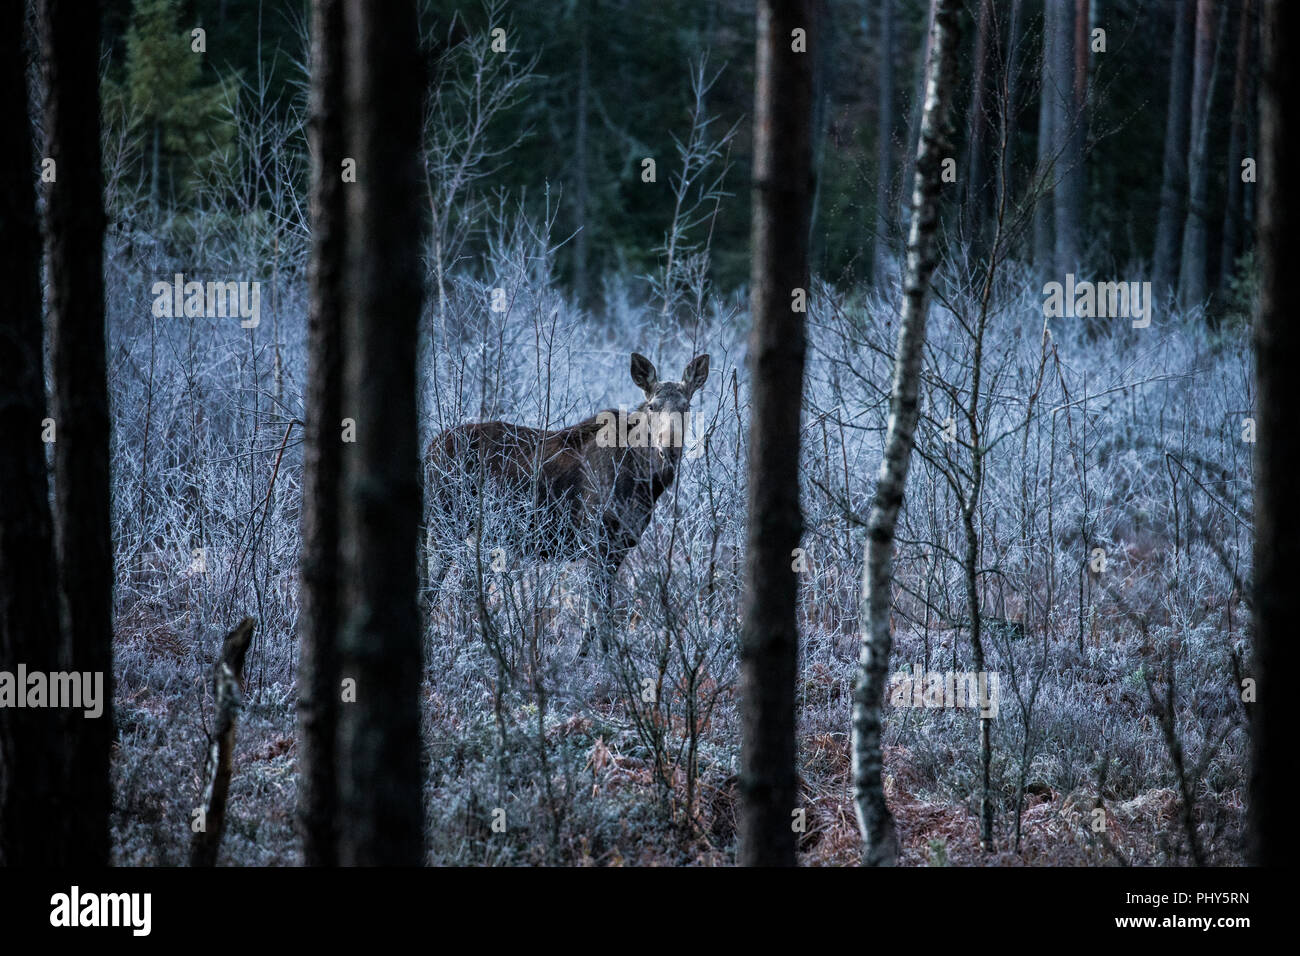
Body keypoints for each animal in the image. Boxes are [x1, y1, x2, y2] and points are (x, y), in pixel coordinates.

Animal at [424, 352, 710, 655]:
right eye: (653, 406)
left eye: (686, 406)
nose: (669, 448)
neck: (646, 484)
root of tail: (430, 449)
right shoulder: (597, 541)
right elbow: (600, 616)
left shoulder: (618, 548)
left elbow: (594, 619)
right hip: (446, 524)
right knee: (433, 587)